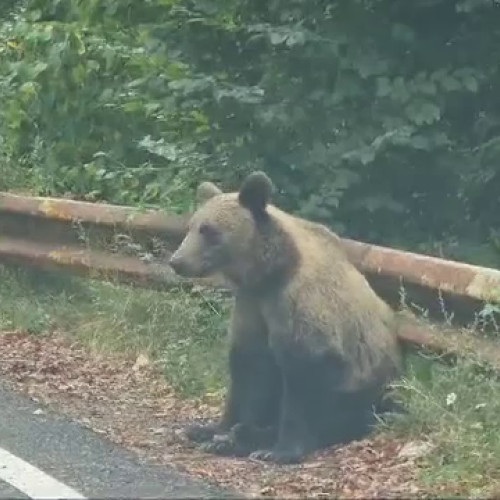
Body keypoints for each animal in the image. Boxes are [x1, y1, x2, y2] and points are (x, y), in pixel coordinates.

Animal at [168, 172, 402, 464]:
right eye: (191, 226)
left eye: (209, 230)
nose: (177, 261)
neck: (269, 272)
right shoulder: (251, 304)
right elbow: (248, 367)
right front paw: (214, 428)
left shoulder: (297, 303)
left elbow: (302, 377)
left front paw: (279, 450)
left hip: (358, 391)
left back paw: (247, 437)